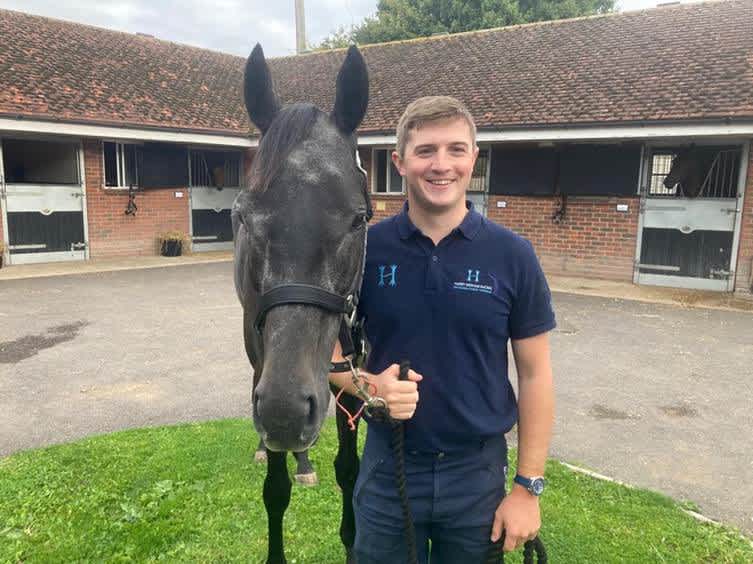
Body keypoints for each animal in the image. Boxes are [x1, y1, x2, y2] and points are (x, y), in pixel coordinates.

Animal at [232, 43, 370, 564]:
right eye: (244, 216)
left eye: (358, 219)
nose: (286, 413)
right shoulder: (267, 366)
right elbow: (275, 491)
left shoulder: (349, 379)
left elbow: (349, 473)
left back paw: (305, 460)